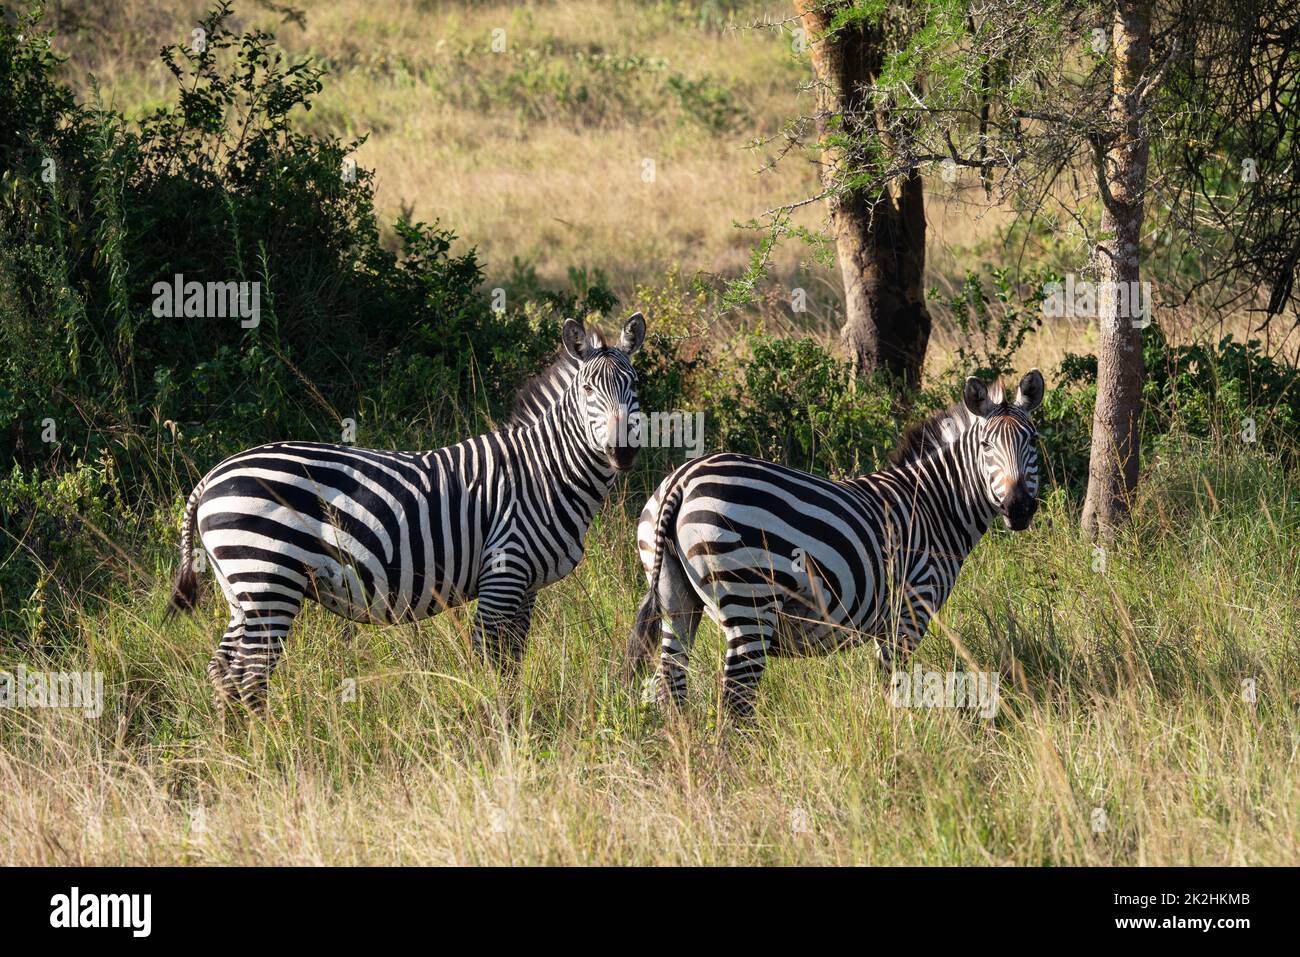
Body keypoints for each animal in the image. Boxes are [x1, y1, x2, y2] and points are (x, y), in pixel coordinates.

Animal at [167, 313, 646, 711]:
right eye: (588, 390)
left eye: (634, 388)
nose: (622, 453)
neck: (544, 471)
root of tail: (210, 477)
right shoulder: (503, 571)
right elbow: (490, 662)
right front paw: (497, 727)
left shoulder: (525, 585)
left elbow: (513, 661)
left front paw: (514, 718)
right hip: (268, 580)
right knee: (249, 676)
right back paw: (266, 748)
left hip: (242, 591)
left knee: (223, 671)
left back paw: (235, 748)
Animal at [623, 370, 1045, 717]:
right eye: (986, 445)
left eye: (1032, 441)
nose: (1019, 507)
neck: (934, 506)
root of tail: (681, 480)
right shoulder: (912, 609)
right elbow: (895, 686)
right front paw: (898, 739)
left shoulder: (890, 621)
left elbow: (883, 683)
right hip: (749, 600)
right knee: (734, 698)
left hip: (675, 596)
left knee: (671, 682)